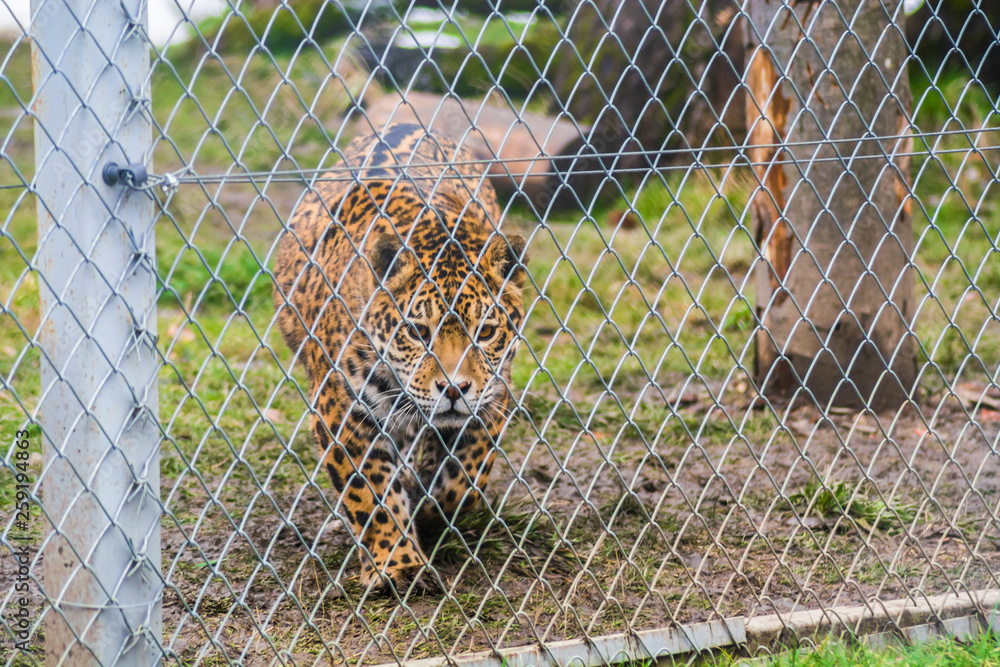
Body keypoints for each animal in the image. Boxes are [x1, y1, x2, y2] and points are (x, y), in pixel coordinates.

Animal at [273, 124, 527, 594]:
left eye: (485, 332)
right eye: (416, 331)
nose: (454, 389)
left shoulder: (494, 395)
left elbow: (465, 481)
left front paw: (430, 509)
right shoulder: (344, 410)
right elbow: (373, 495)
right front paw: (399, 564)